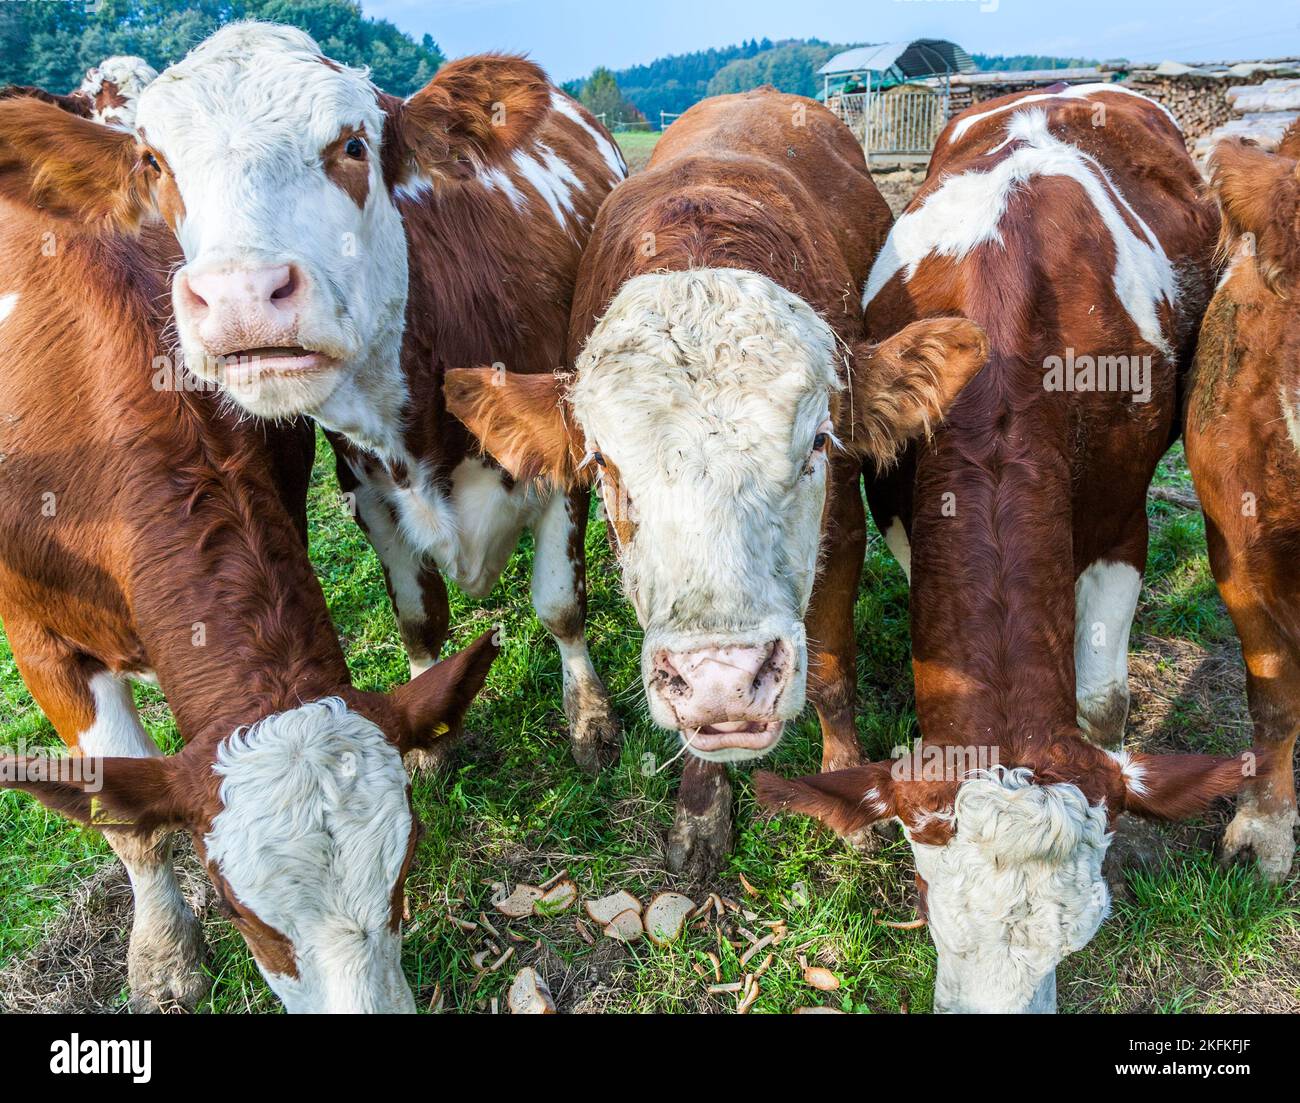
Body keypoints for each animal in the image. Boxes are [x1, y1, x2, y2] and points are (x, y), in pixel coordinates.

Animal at [0, 21, 625, 773]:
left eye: (353, 145)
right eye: (153, 162)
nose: (240, 296)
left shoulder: (560, 454)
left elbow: (561, 603)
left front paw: (590, 719)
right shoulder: (373, 492)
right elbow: (420, 620)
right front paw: (428, 743)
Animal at [445, 88, 989, 875]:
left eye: (816, 443)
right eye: (605, 464)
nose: (723, 679)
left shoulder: (841, 524)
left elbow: (831, 666)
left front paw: (841, 783)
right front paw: (701, 810)